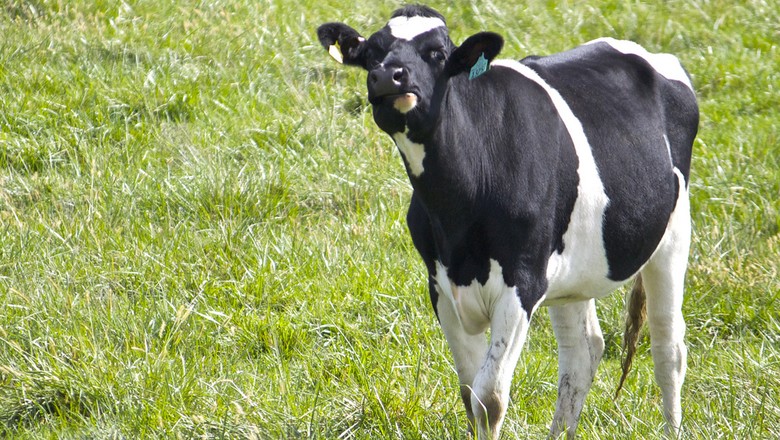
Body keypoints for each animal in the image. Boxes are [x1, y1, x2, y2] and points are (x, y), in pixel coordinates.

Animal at [317, 5, 698, 439]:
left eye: (436, 53)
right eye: (371, 54)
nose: (388, 76)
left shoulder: (523, 282)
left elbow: (489, 398)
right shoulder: (440, 286)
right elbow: (469, 393)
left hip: (673, 235)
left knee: (668, 347)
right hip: (573, 272)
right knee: (583, 353)